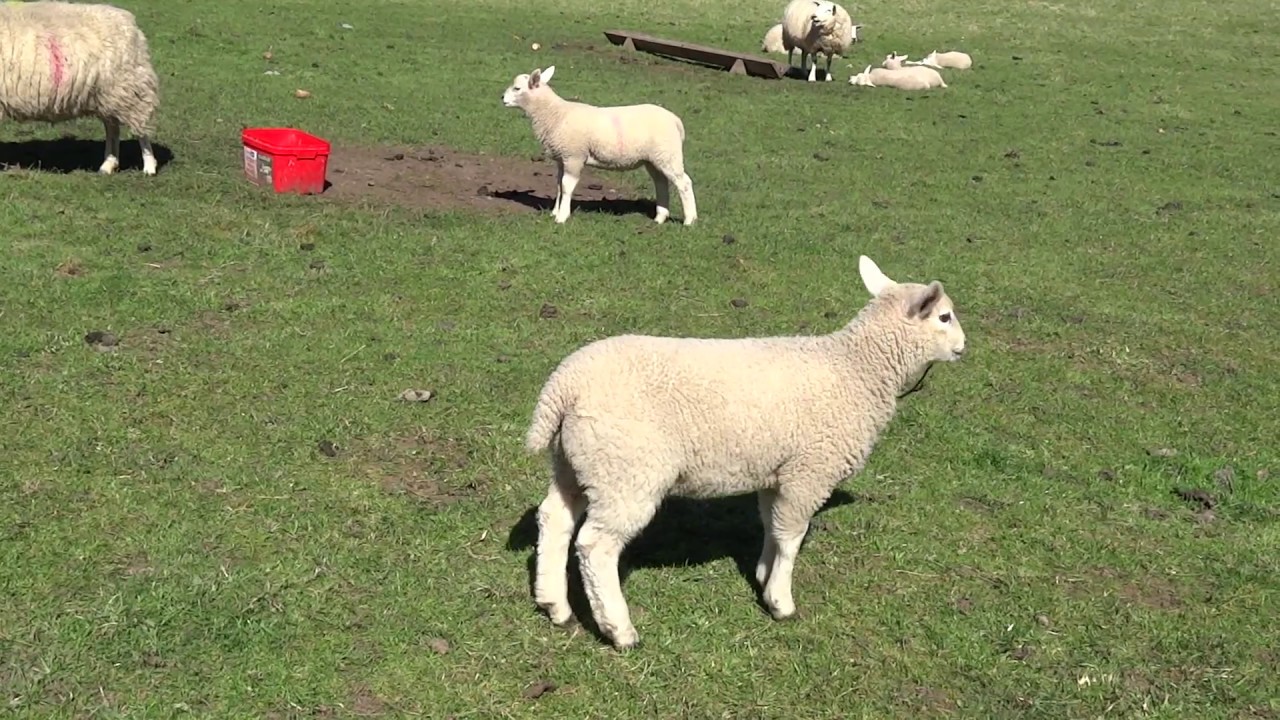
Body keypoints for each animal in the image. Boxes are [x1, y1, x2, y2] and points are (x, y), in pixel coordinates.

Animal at [0, 1, 160, 176]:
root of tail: (130, 23)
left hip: (130, 90)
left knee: (141, 130)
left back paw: (149, 167)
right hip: (108, 96)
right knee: (113, 129)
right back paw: (108, 165)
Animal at [501, 65, 696, 226]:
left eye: (517, 88)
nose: (502, 98)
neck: (554, 114)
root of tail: (675, 120)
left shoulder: (574, 156)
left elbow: (567, 186)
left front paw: (562, 217)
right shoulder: (561, 158)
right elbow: (558, 185)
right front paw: (555, 212)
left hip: (668, 153)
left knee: (684, 183)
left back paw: (690, 220)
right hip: (654, 159)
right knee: (661, 182)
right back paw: (660, 217)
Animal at [524, 255, 967, 650]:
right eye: (944, 317)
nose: (964, 346)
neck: (856, 368)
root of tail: (563, 386)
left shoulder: (778, 471)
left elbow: (772, 526)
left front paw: (763, 576)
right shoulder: (809, 471)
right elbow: (791, 536)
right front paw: (781, 601)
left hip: (578, 462)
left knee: (555, 519)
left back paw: (555, 606)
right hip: (627, 469)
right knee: (595, 545)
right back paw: (619, 631)